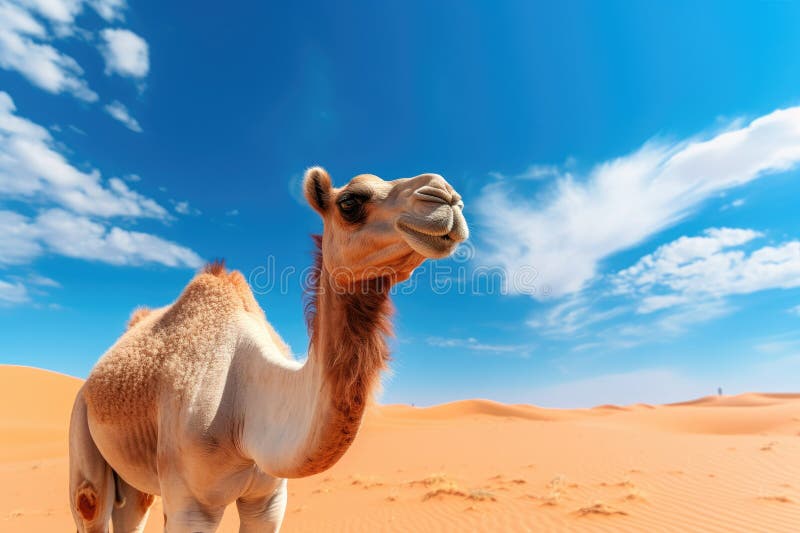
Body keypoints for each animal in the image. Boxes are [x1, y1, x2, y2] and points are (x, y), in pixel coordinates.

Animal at [69, 167, 468, 532]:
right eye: (350, 202)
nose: (446, 196)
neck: (245, 414)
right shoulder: (190, 502)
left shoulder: (268, 500)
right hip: (82, 431)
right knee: (90, 504)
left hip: (135, 478)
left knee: (133, 510)